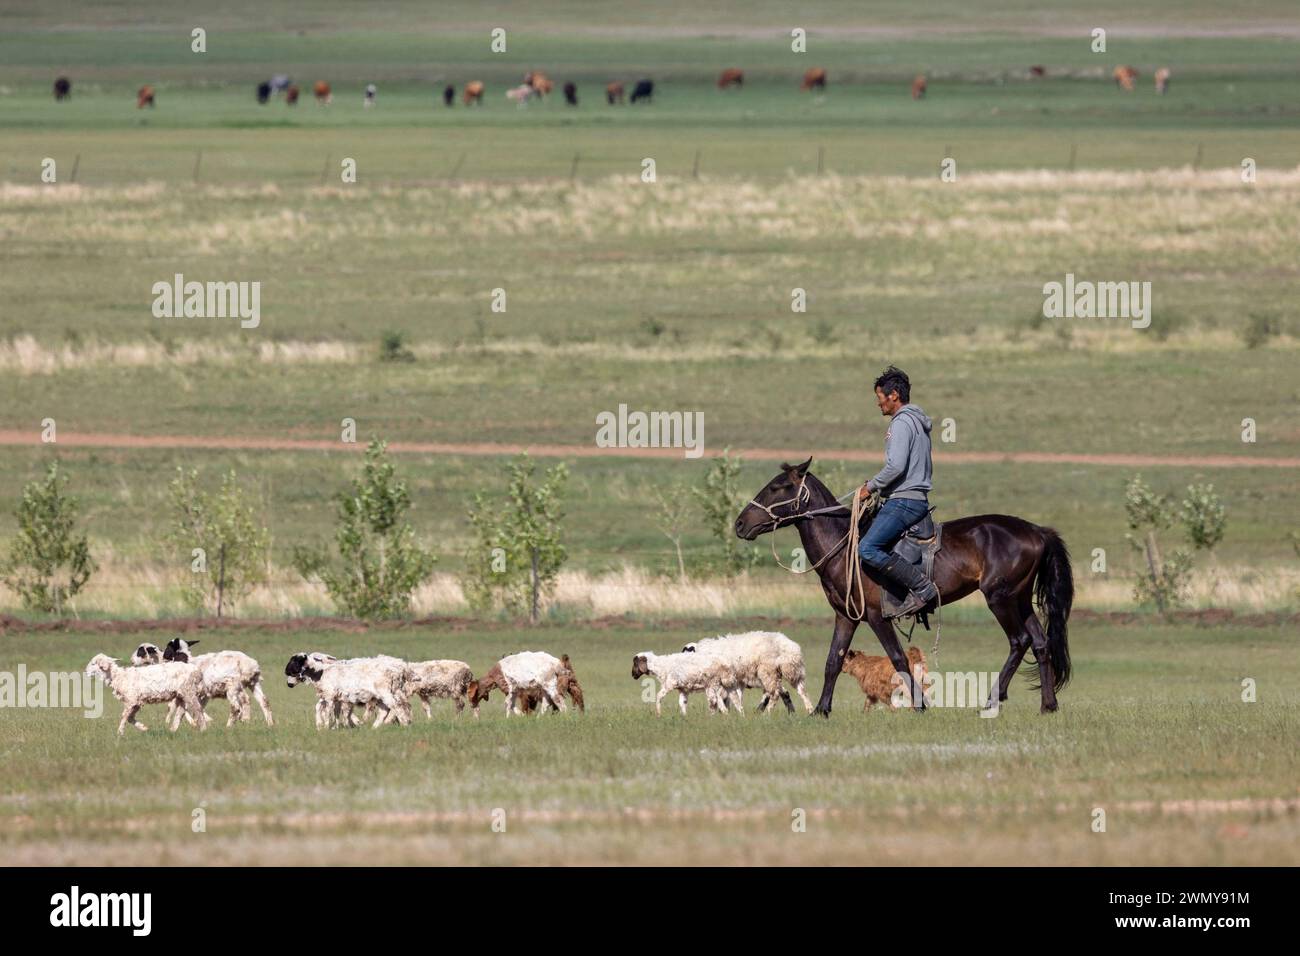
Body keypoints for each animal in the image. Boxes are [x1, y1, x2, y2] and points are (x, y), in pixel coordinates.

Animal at [682, 631, 813, 714]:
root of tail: (789, 647)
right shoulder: (737, 681)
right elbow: (735, 696)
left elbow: (720, 696)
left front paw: (724, 711)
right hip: (793, 672)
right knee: (800, 691)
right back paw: (808, 711)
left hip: (768, 672)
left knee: (775, 694)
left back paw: (767, 713)